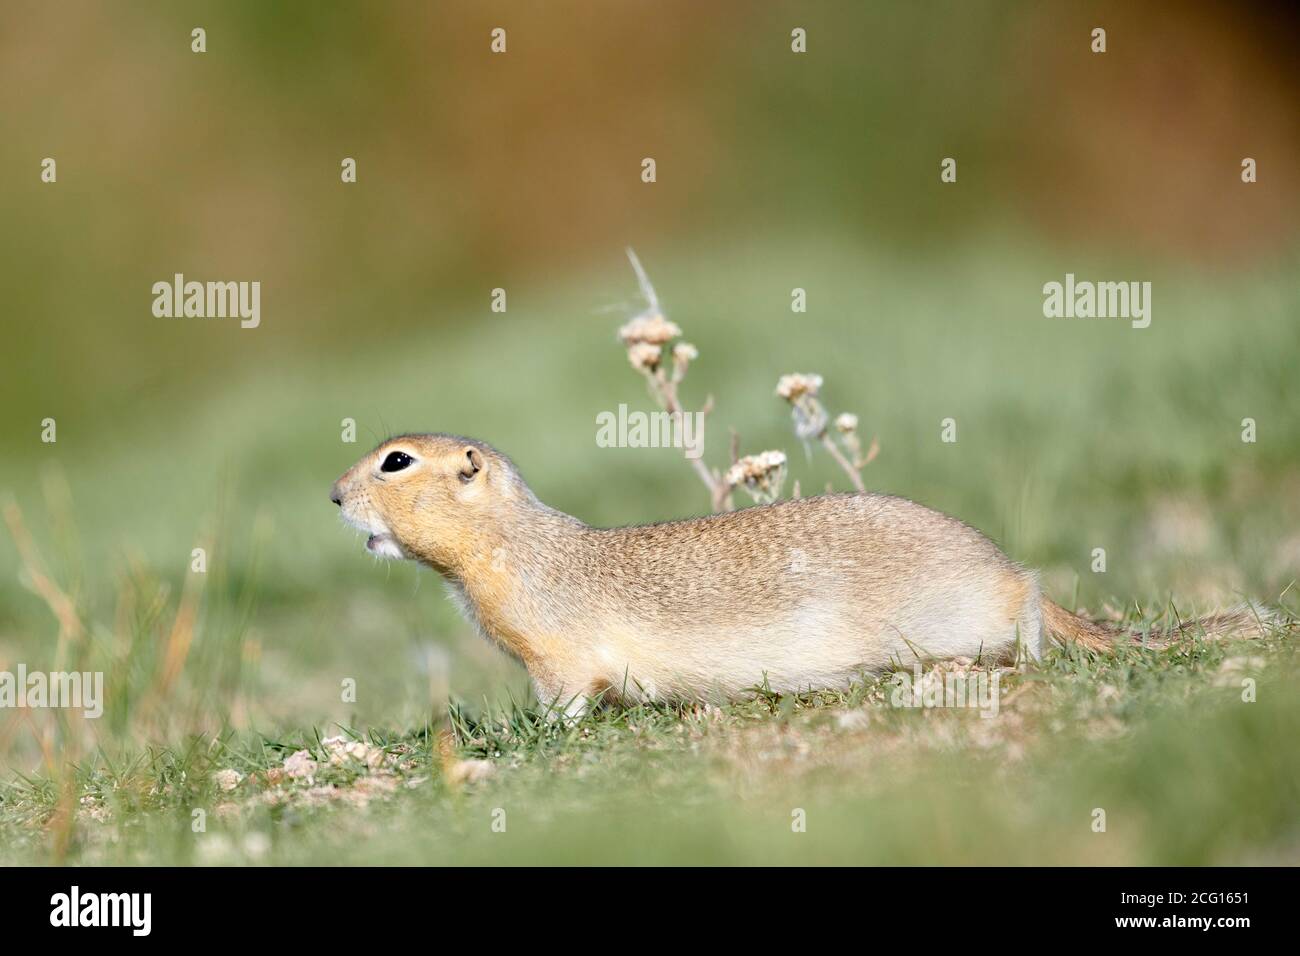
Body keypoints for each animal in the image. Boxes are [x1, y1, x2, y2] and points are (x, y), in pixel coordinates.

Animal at [331, 433, 1275, 714]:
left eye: (395, 460)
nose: (334, 495)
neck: (514, 540)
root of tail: (1003, 565)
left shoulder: (553, 650)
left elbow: (562, 696)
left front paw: (545, 735)